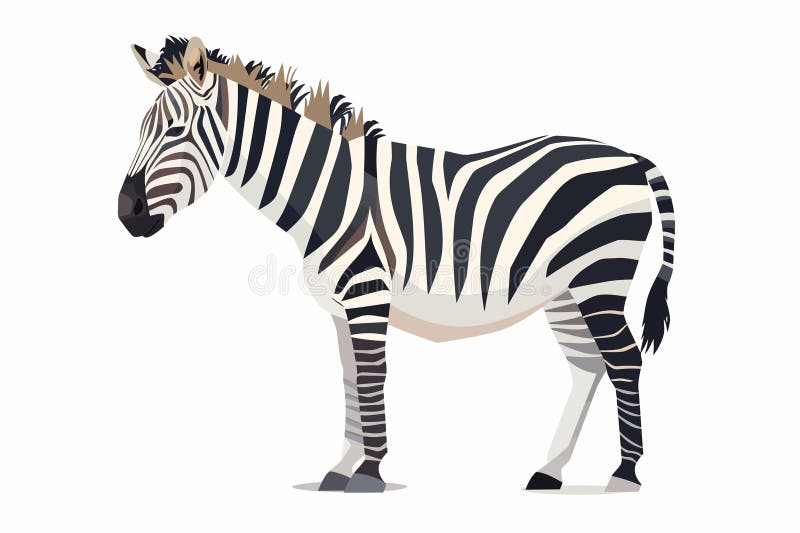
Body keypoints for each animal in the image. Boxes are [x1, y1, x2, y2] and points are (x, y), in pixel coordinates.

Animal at [119, 36, 675, 493]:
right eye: (141, 130)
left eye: (175, 131)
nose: (126, 214)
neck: (330, 195)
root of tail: (627, 156)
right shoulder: (340, 308)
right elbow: (348, 378)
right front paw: (340, 469)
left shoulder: (367, 294)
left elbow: (371, 376)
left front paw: (369, 472)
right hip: (563, 291)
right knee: (587, 366)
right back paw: (549, 472)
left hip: (602, 275)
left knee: (624, 359)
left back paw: (624, 474)